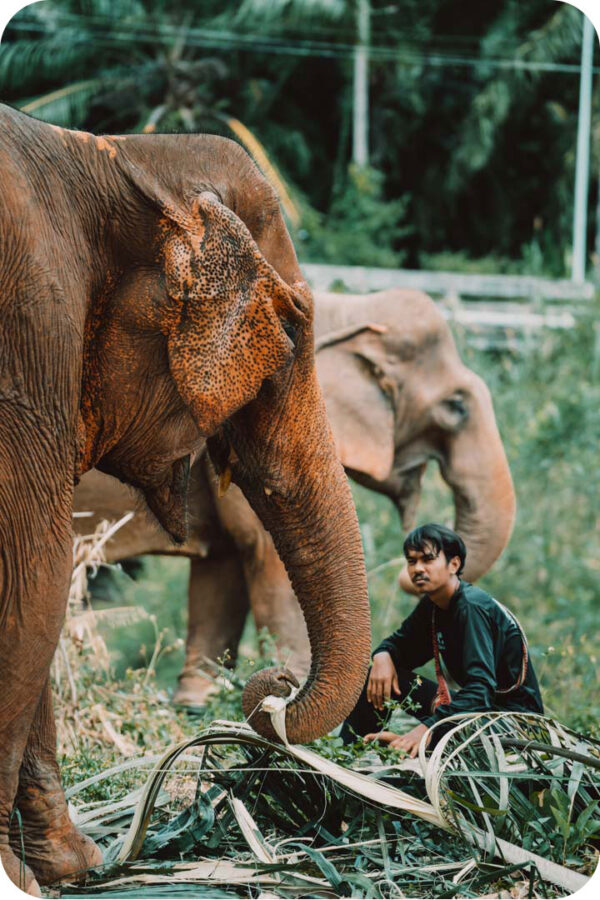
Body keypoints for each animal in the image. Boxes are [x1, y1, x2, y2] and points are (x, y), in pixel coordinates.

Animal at [0, 105, 371, 892]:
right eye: (290, 330)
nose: (269, 688)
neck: (116, 155)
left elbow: (34, 596)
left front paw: (72, 867)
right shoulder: (29, 337)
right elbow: (34, 582)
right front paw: (27, 877)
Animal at [73, 288, 515, 705]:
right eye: (456, 407)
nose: (410, 571)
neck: (351, 307)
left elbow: (225, 560)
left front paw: (197, 701)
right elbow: (265, 550)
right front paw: (290, 687)